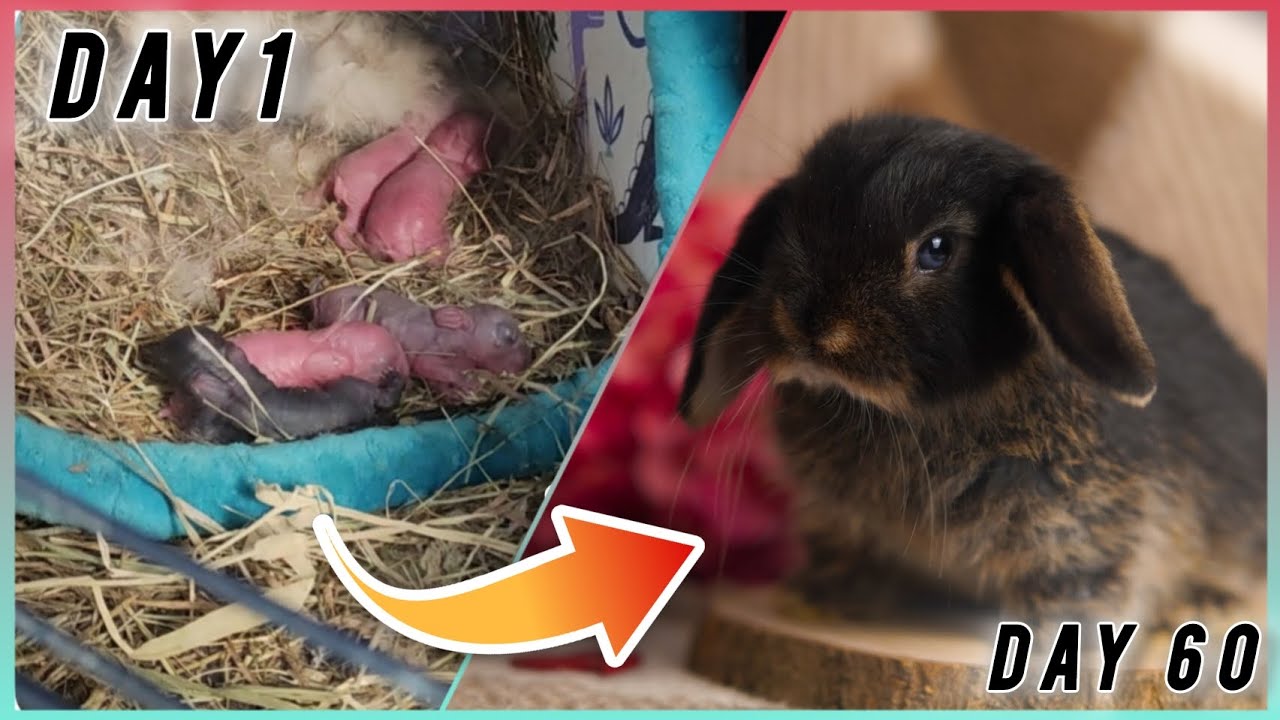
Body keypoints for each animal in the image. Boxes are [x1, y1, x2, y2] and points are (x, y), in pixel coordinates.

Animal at [677, 113, 1265, 641]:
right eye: (794, 219)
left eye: (938, 248)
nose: (807, 323)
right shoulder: (835, 520)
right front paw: (810, 603)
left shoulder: (1083, 538)